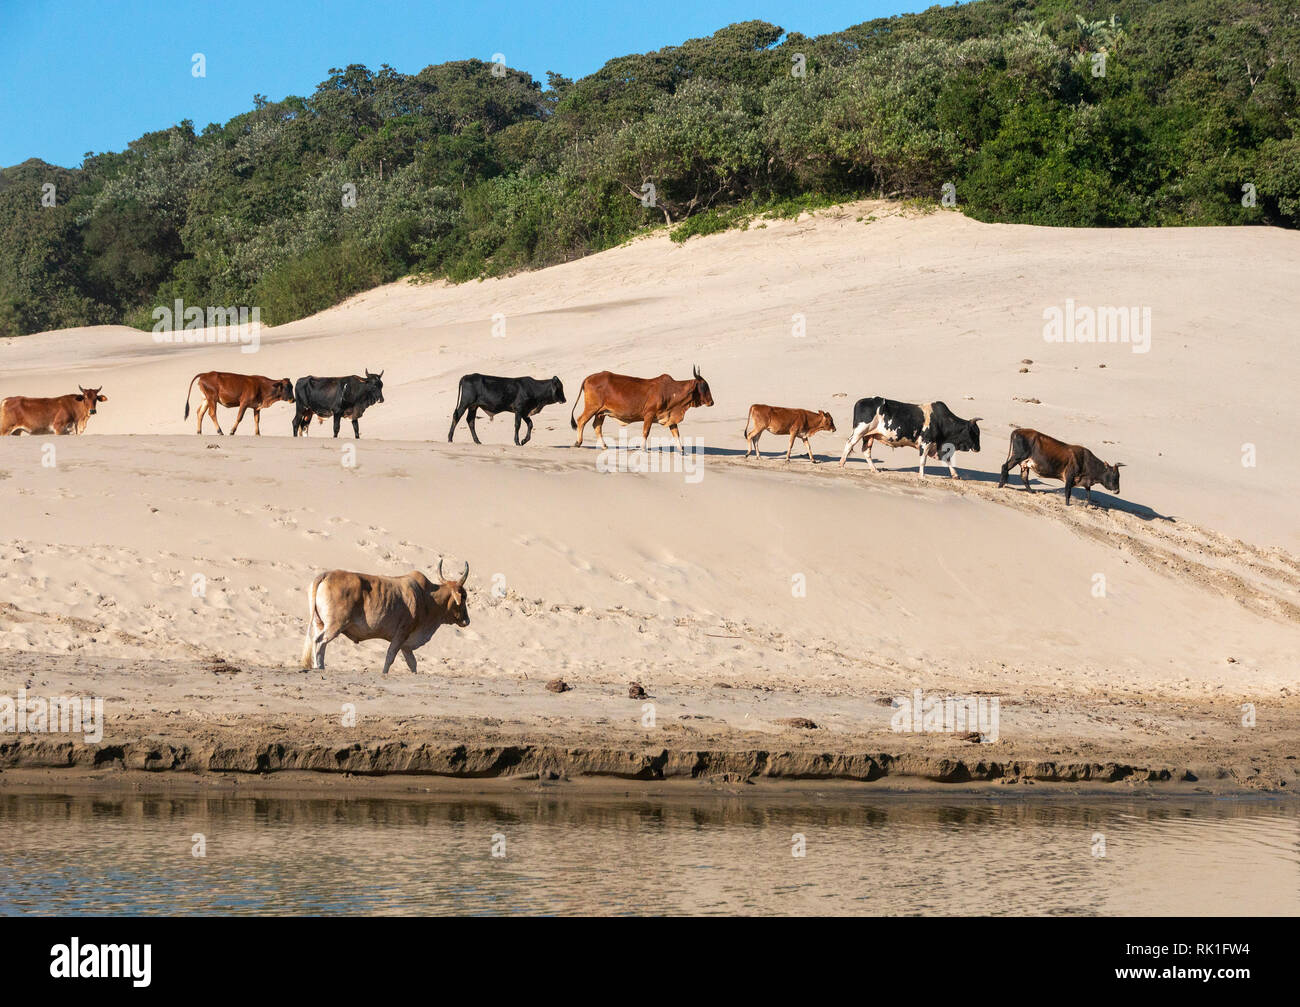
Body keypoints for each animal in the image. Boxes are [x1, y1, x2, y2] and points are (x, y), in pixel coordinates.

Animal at [301, 559, 471, 674]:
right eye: (463, 596)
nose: (466, 620)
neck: (427, 597)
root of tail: (326, 575)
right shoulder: (401, 634)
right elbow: (390, 657)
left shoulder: (406, 644)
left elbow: (412, 663)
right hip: (335, 625)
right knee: (319, 642)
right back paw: (320, 667)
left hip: (319, 623)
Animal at [570, 366, 714, 452]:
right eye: (705, 386)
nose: (711, 402)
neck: (671, 392)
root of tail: (589, 378)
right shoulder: (649, 415)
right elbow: (646, 432)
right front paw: (643, 448)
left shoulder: (670, 417)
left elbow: (676, 433)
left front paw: (682, 451)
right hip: (592, 408)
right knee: (581, 420)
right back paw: (578, 442)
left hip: (601, 412)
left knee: (597, 426)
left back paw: (604, 446)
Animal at [838, 397, 982, 478]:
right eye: (975, 432)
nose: (979, 448)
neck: (942, 421)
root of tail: (862, 401)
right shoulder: (925, 443)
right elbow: (923, 461)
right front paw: (922, 476)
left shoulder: (937, 446)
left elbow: (947, 459)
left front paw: (955, 475)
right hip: (860, 431)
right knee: (849, 443)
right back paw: (841, 464)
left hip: (869, 435)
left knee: (866, 451)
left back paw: (875, 470)